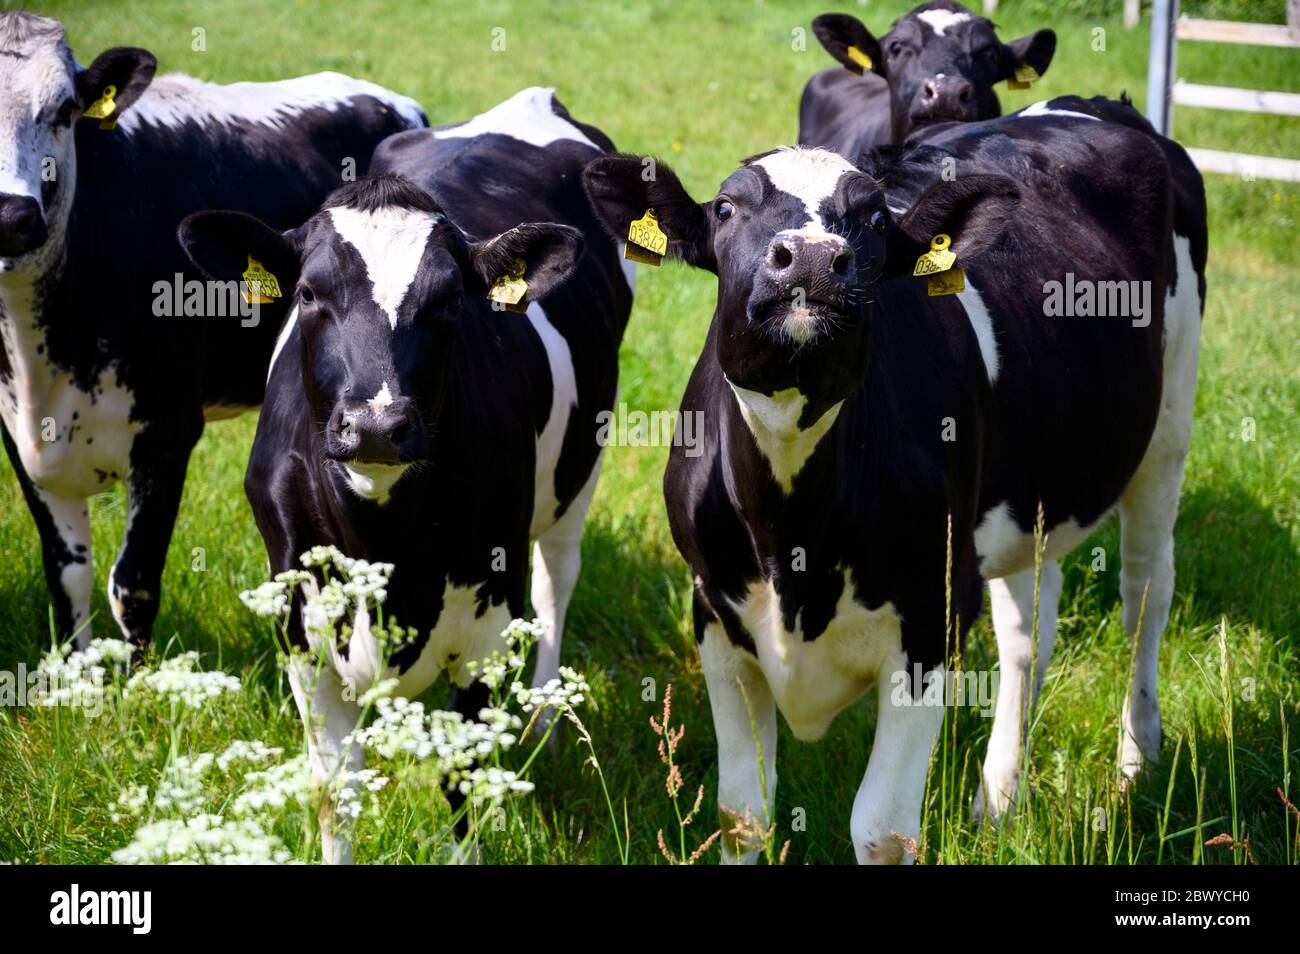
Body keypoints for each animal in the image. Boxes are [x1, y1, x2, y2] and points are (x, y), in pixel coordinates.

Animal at [0, 11, 426, 652]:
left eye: (63, 110)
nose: (10, 215)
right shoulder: (23, 442)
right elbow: (67, 578)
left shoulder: (167, 430)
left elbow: (133, 585)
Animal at [178, 87, 633, 862]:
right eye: (307, 293)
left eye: (449, 301)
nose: (376, 425)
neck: (383, 535)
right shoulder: (301, 631)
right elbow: (335, 797)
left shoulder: (483, 633)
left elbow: (462, 791)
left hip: (580, 468)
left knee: (556, 581)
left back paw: (545, 720)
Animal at [583, 97, 1205, 863]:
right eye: (726, 207)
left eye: (877, 220)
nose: (812, 258)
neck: (791, 537)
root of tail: (1098, 106)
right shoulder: (716, 613)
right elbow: (742, 812)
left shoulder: (931, 618)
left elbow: (880, 829)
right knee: (1028, 629)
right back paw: (999, 795)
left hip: (1166, 428)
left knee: (1145, 592)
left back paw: (1136, 760)